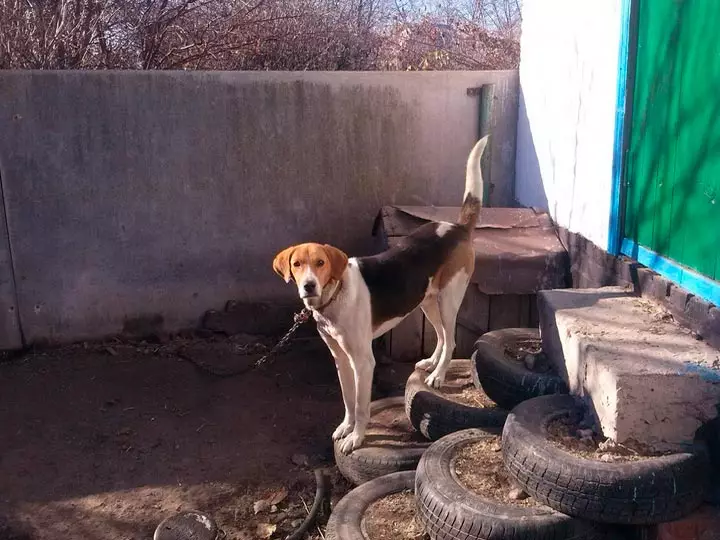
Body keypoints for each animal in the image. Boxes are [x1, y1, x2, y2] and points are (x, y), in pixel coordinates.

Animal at [272, 134, 486, 452]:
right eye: (297, 264)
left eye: (321, 263)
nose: (308, 286)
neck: (336, 296)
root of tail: (456, 227)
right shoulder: (341, 360)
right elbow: (348, 401)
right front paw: (345, 428)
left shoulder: (363, 361)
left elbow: (362, 406)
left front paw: (357, 438)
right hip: (427, 301)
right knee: (441, 336)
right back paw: (431, 363)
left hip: (448, 300)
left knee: (451, 341)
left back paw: (438, 375)